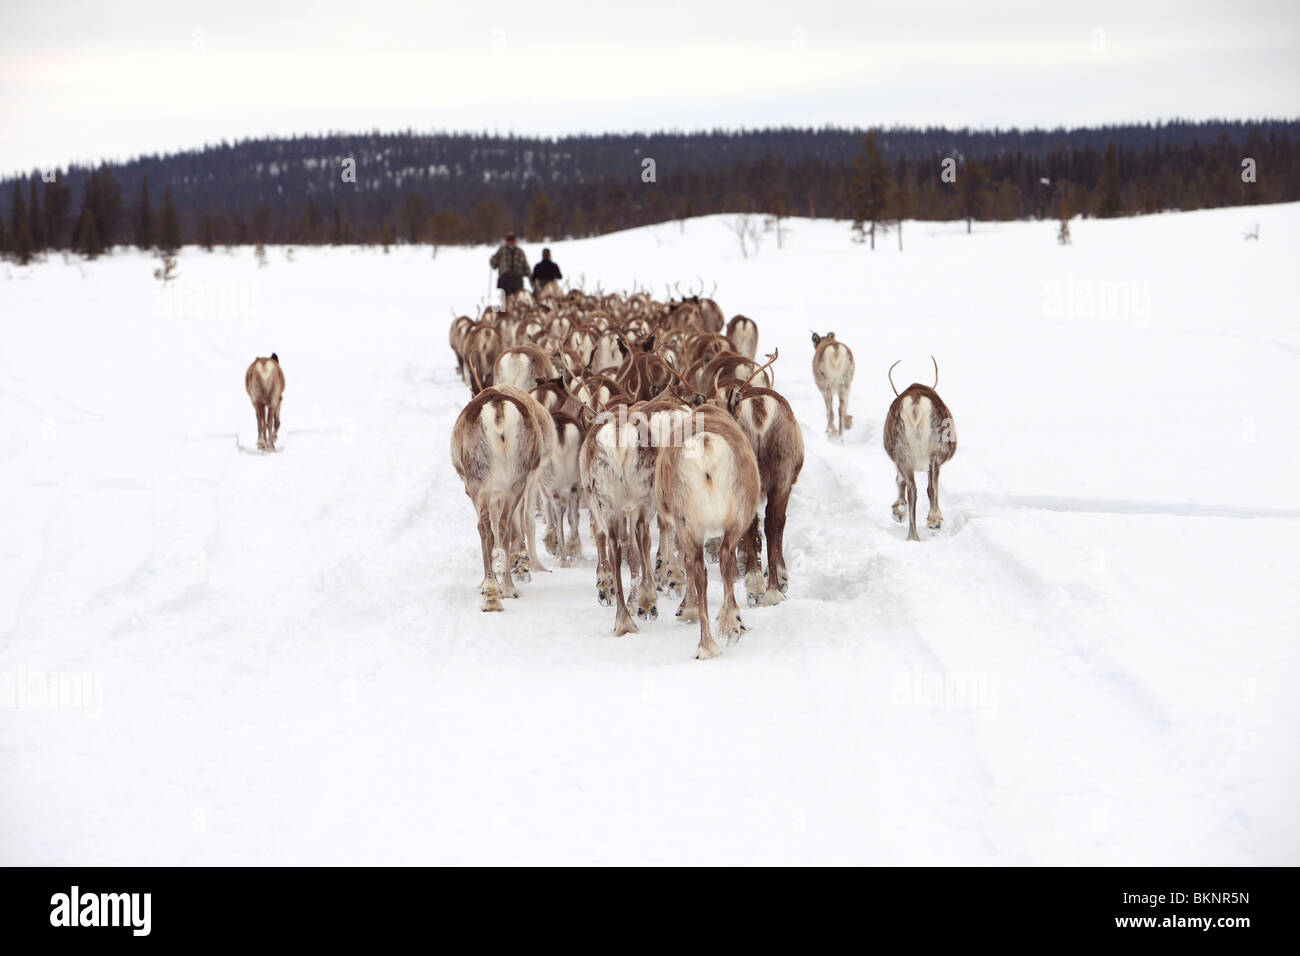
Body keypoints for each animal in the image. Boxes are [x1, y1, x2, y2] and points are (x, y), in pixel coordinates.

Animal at [450, 387, 543, 611]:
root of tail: (499, 412)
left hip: (479, 485)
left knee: (484, 527)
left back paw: (490, 589)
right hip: (515, 484)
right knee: (505, 527)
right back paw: (508, 589)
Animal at [654, 405, 760, 660]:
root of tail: (707, 444)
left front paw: (685, 609)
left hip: (691, 525)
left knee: (701, 569)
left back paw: (710, 640)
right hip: (731, 520)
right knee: (722, 561)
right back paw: (726, 630)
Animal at [883, 357, 957, 542]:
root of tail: (915, 403)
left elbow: (900, 480)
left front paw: (898, 511)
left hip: (903, 452)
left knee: (912, 488)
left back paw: (913, 536)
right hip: (936, 450)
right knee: (930, 485)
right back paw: (934, 520)